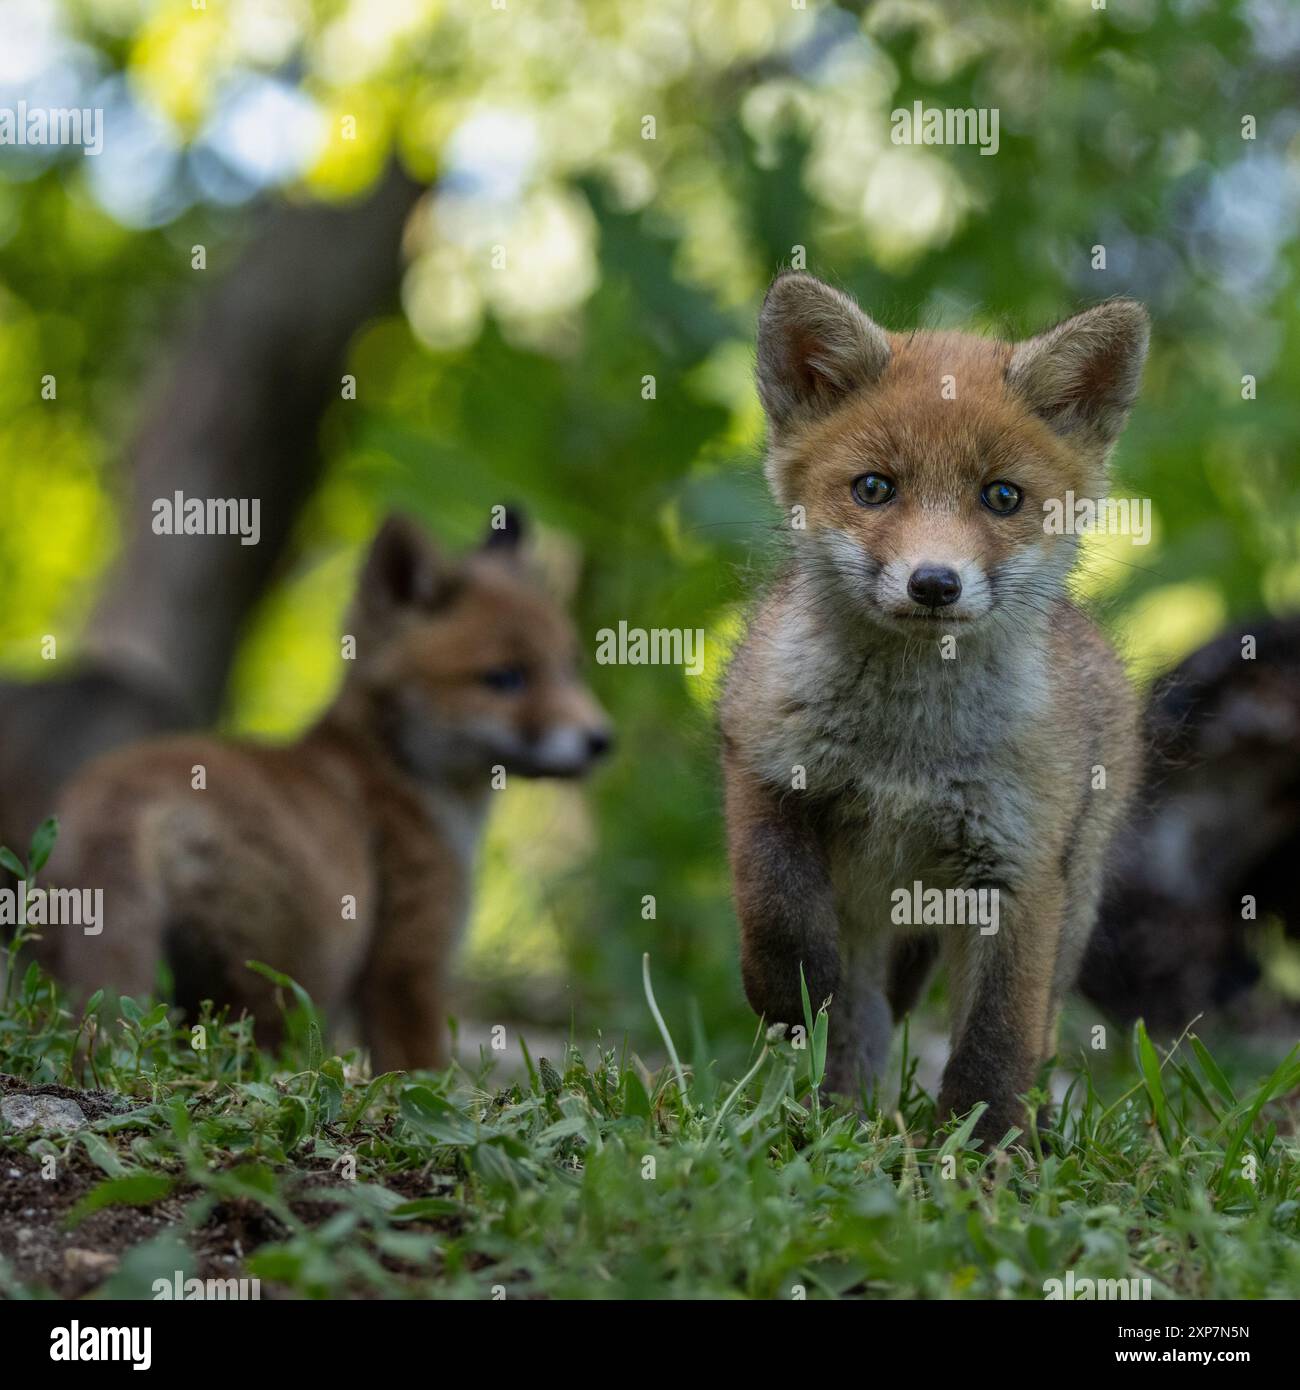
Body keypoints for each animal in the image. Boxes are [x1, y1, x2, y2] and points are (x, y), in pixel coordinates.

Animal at [45, 510, 611, 1071]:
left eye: (572, 667)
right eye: (505, 678)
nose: (602, 740)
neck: (403, 770)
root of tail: (119, 796)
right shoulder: (406, 960)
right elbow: (416, 1064)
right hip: (288, 975)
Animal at [721, 273, 1148, 1144]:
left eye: (1002, 497)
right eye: (874, 488)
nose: (934, 583)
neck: (907, 750)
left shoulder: (1016, 868)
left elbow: (997, 1033)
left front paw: (983, 1147)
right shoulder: (764, 767)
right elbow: (782, 924)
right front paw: (790, 1004)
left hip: (1070, 901)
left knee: (1032, 1020)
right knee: (862, 1012)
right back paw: (834, 1114)